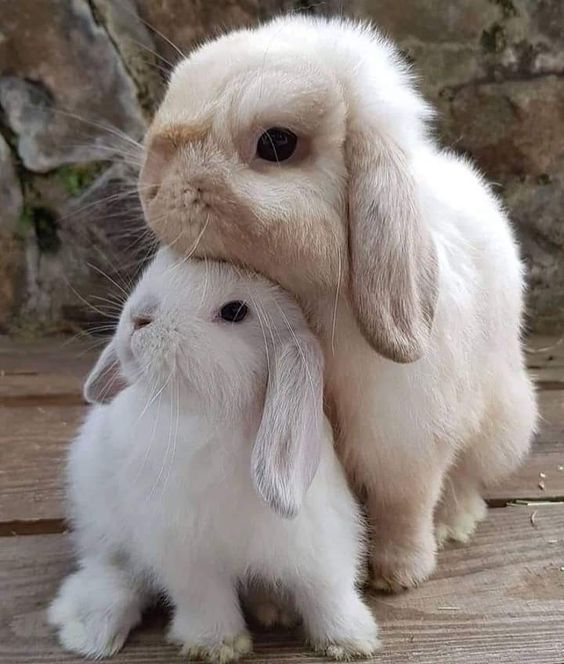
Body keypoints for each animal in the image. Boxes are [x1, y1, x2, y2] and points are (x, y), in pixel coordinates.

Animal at [47, 247, 380, 663]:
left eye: (235, 311)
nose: (137, 319)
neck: (214, 421)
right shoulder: (186, 553)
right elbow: (205, 599)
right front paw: (217, 645)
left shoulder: (319, 539)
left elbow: (327, 591)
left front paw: (351, 641)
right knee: (115, 570)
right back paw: (88, 629)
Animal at [138, 15, 538, 591]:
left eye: (276, 142)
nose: (148, 184)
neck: (318, 299)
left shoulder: (403, 440)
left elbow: (404, 504)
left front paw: (398, 573)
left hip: (499, 421)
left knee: (463, 479)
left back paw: (453, 524)